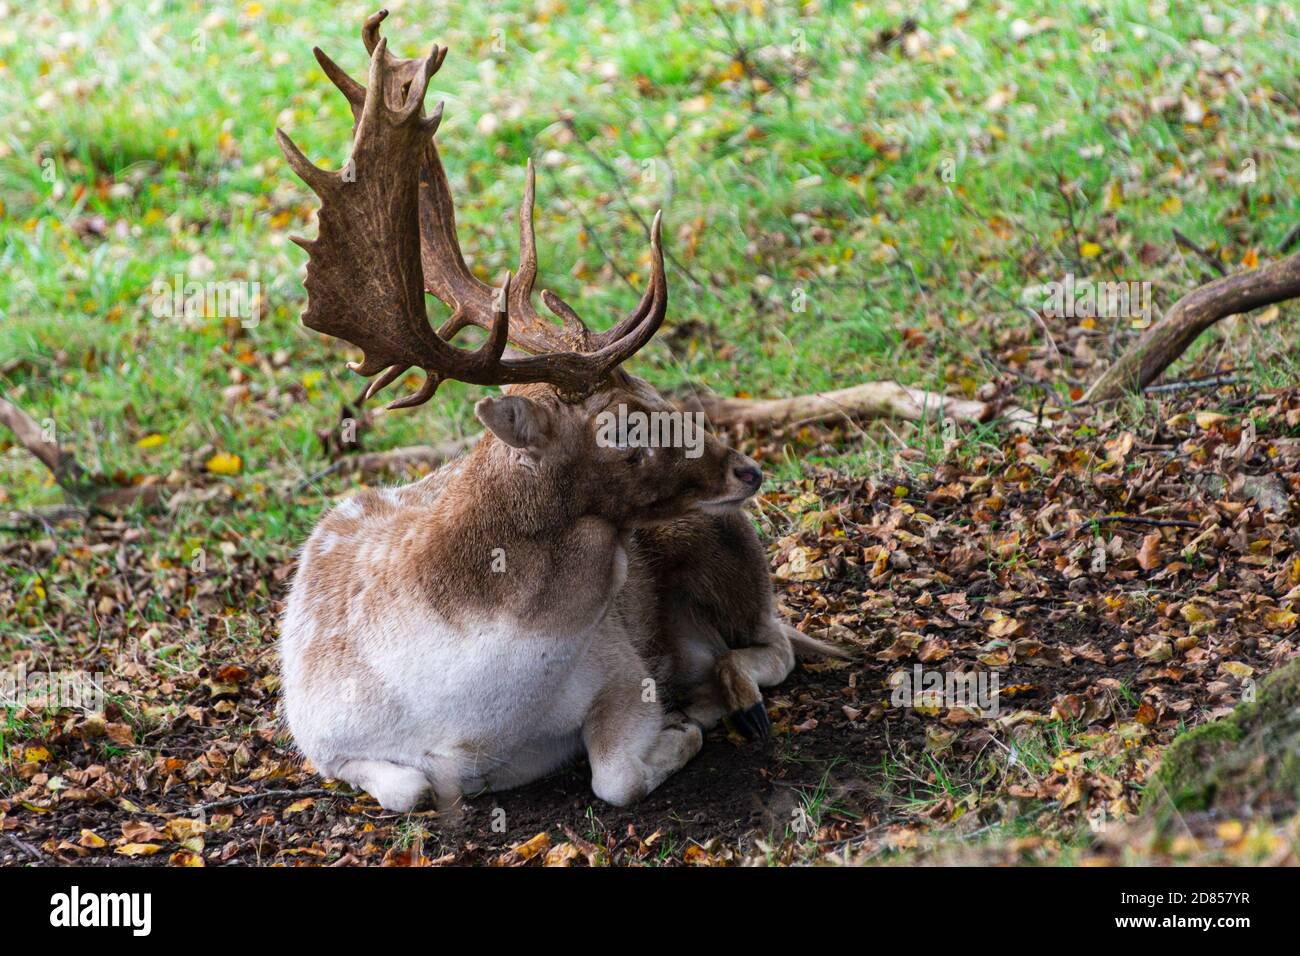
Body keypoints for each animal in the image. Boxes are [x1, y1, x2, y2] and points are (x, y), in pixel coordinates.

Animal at [276, 10, 841, 812]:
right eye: (624, 425)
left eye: (653, 388)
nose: (747, 469)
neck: (467, 710)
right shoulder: (323, 737)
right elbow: (409, 788)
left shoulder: (620, 672)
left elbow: (616, 776)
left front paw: (683, 729)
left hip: (730, 556)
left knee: (779, 644)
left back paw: (727, 698)